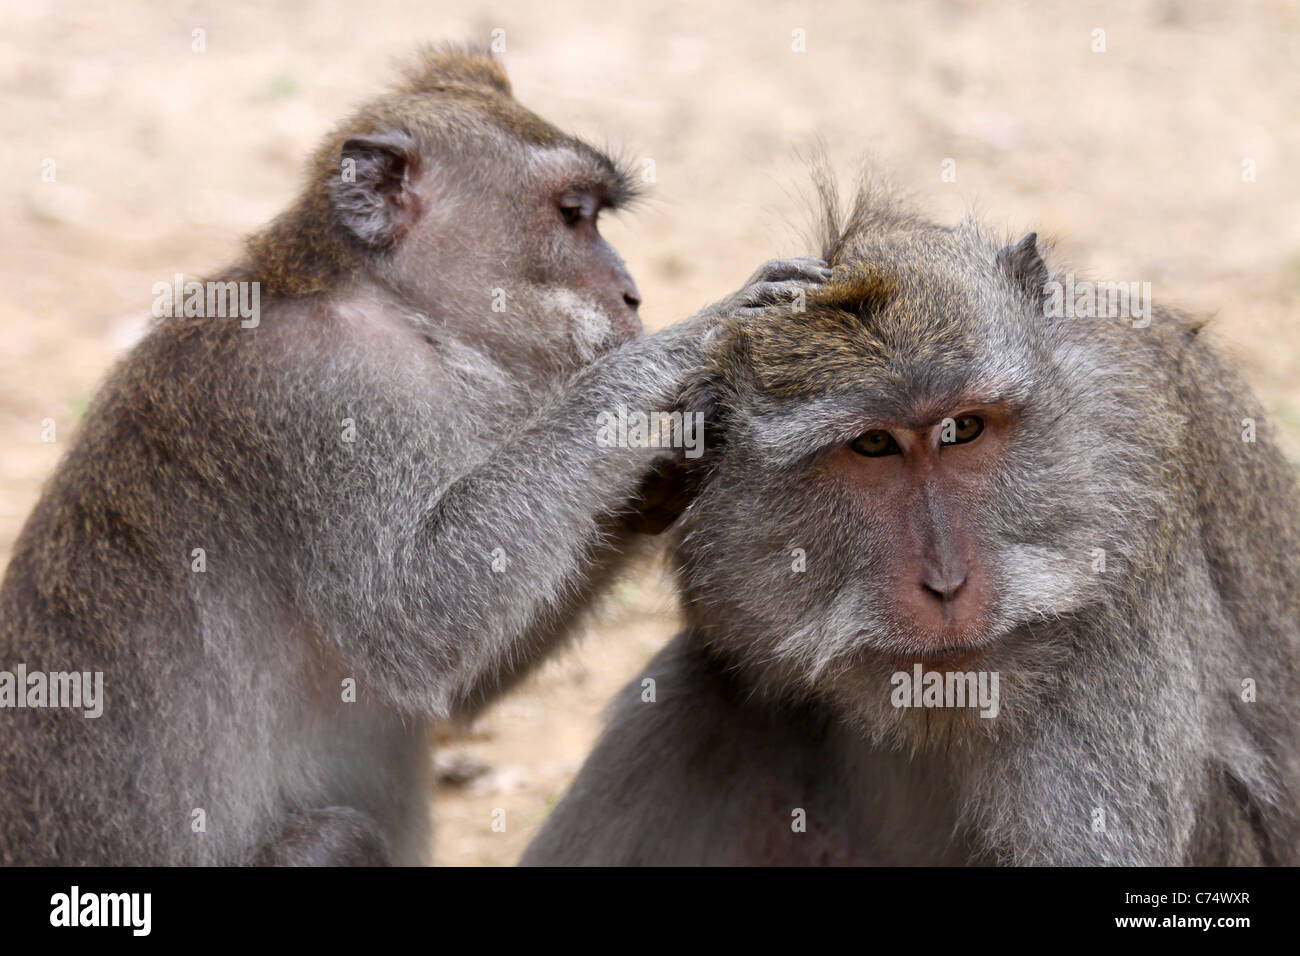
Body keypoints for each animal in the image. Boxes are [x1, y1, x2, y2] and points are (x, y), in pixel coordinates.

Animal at [0, 45, 829, 866]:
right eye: (573, 215)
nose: (631, 294)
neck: (402, 313)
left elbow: (460, 681)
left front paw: (679, 454)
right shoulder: (322, 396)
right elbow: (411, 619)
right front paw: (684, 348)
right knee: (333, 838)